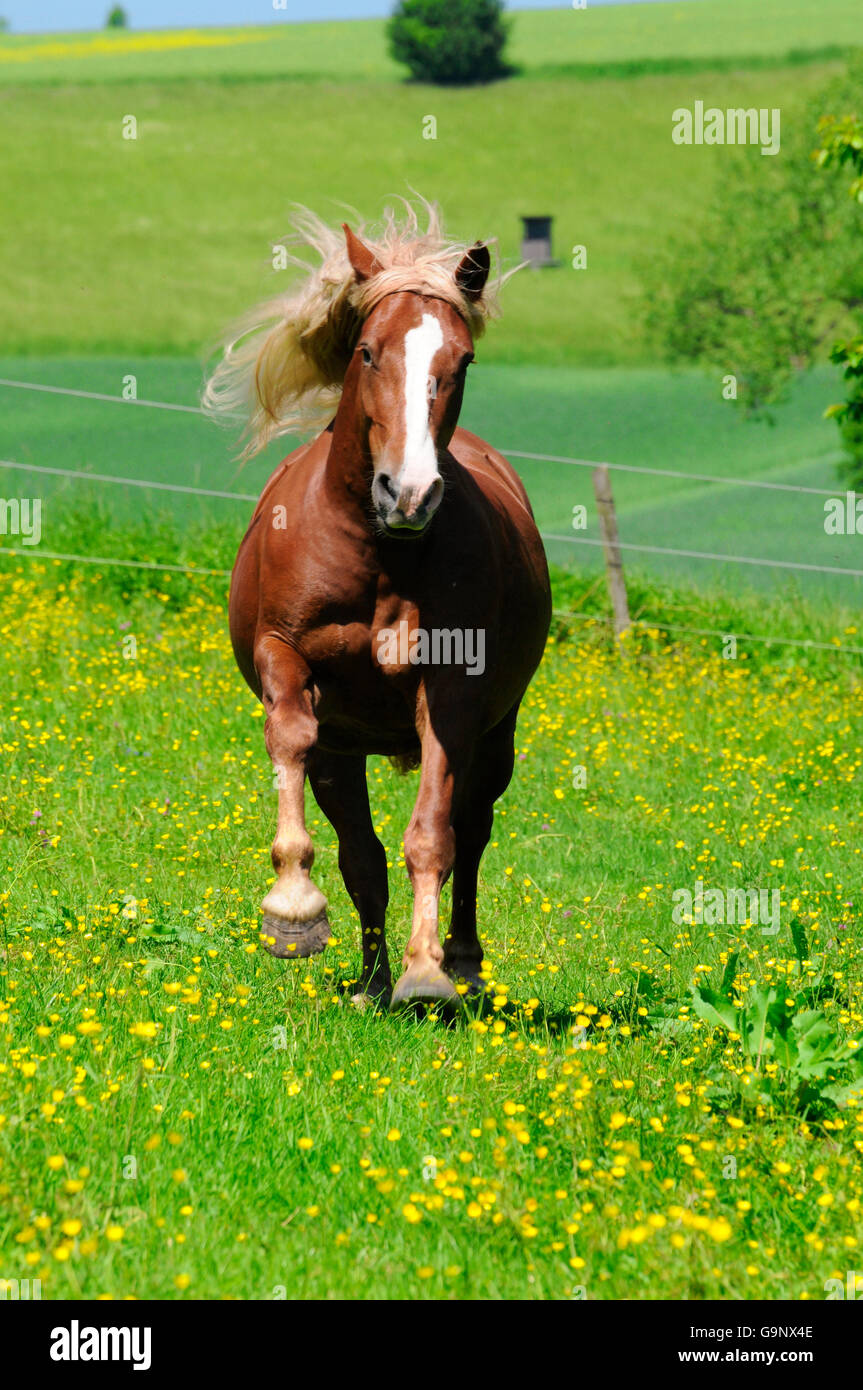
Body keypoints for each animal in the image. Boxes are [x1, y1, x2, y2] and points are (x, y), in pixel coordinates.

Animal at [204, 202, 551, 1010]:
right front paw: (292, 911)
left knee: (473, 827)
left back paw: (457, 964)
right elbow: (293, 746)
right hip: (344, 750)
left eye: (462, 361)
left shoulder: (451, 693)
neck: (379, 554)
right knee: (360, 854)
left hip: (498, 734)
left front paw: (426, 973)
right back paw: (368, 979)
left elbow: (433, 835)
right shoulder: (286, 658)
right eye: (366, 352)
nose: (410, 493)